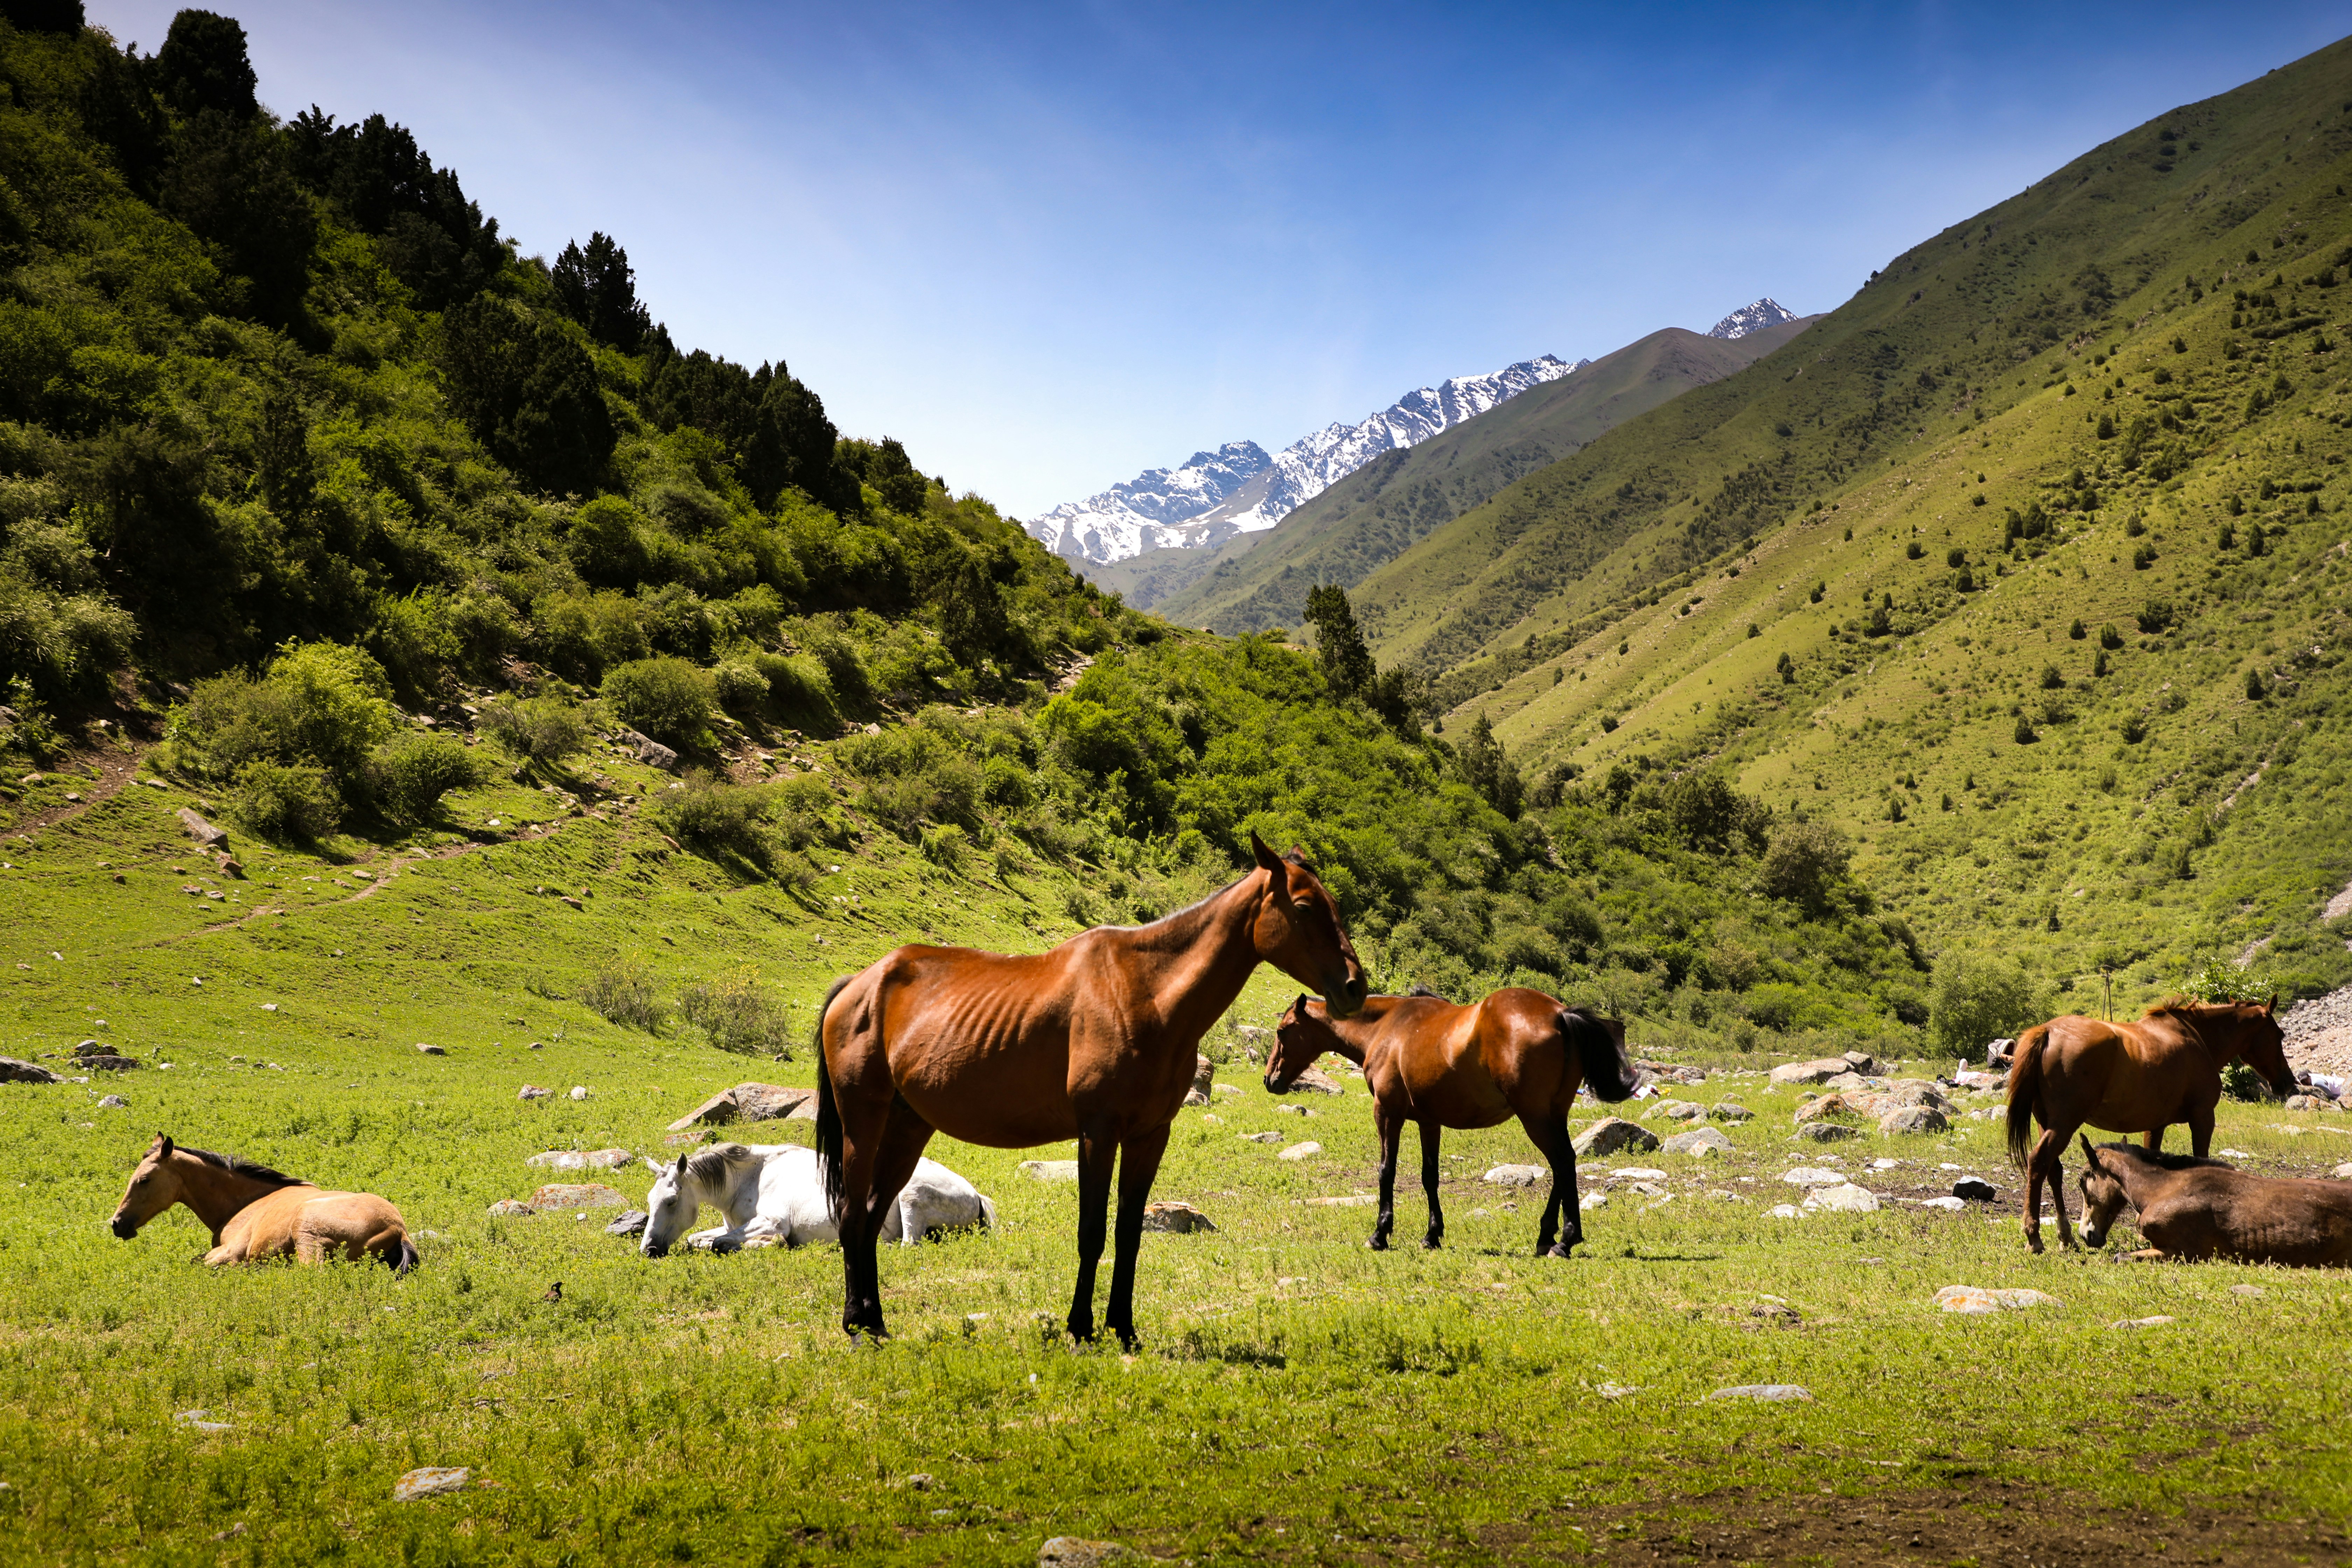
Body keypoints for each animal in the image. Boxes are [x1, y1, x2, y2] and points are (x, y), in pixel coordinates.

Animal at [109, 1132, 417, 1272]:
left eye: (144, 1180)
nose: (117, 1224)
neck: (245, 1203)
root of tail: (398, 1229)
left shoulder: (228, 1252)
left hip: (306, 1232)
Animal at [639, 1142, 993, 1257]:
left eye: (671, 1201)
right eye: (650, 1200)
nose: (648, 1250)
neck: (752, 1177)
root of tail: (975, 1194)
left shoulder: (773, 1222)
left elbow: (719, 1243)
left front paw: (770, 1244)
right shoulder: (732, 1225)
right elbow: (700, 1239)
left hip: (910, 1196)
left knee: (907, 1244)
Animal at [815, 832, 1365, 1347]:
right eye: (1303, 906)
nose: (1355, 987)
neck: (1146, 995)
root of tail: (860, 984)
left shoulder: (1149, 1137)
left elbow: (1128, 1234)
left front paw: (1123, 1327)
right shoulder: (1098, 1134)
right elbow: (1092, 1234)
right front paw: (1080, 1327)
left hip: (909, 1127)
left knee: (871, 1216)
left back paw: (876, 1321)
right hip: (862, 1123)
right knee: (852, 1215)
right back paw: (856, 1325)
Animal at [1267, 988, 1639, 1256]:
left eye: (1283, 1031)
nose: (1270, 1080)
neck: (1387, 1029)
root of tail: (1561, 1014)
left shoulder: (1387, 1113)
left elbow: (1387, 1171)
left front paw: (1380, 1234)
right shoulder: (1429, 1123)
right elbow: (1429, 1177)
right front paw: (1432, 1235)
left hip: (1535, 1117)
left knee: (1562, 1163)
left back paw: (1564, 1240)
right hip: (1553, 1115)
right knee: (1566, 1164)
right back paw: (1547, 1236)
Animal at [2004, 998, 2295, 1252]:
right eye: (2279, 1034)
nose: (2288, 1081)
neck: (2196, 1038)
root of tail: (2048, 1031)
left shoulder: (2156, 1126)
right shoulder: (2203, 1118)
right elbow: (2202, 1158)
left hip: (2047, 1123)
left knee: (2053, 1171)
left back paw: (2066, 1238)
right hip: (2064, 1124)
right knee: (2039, 1162)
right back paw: (2034, 1237)